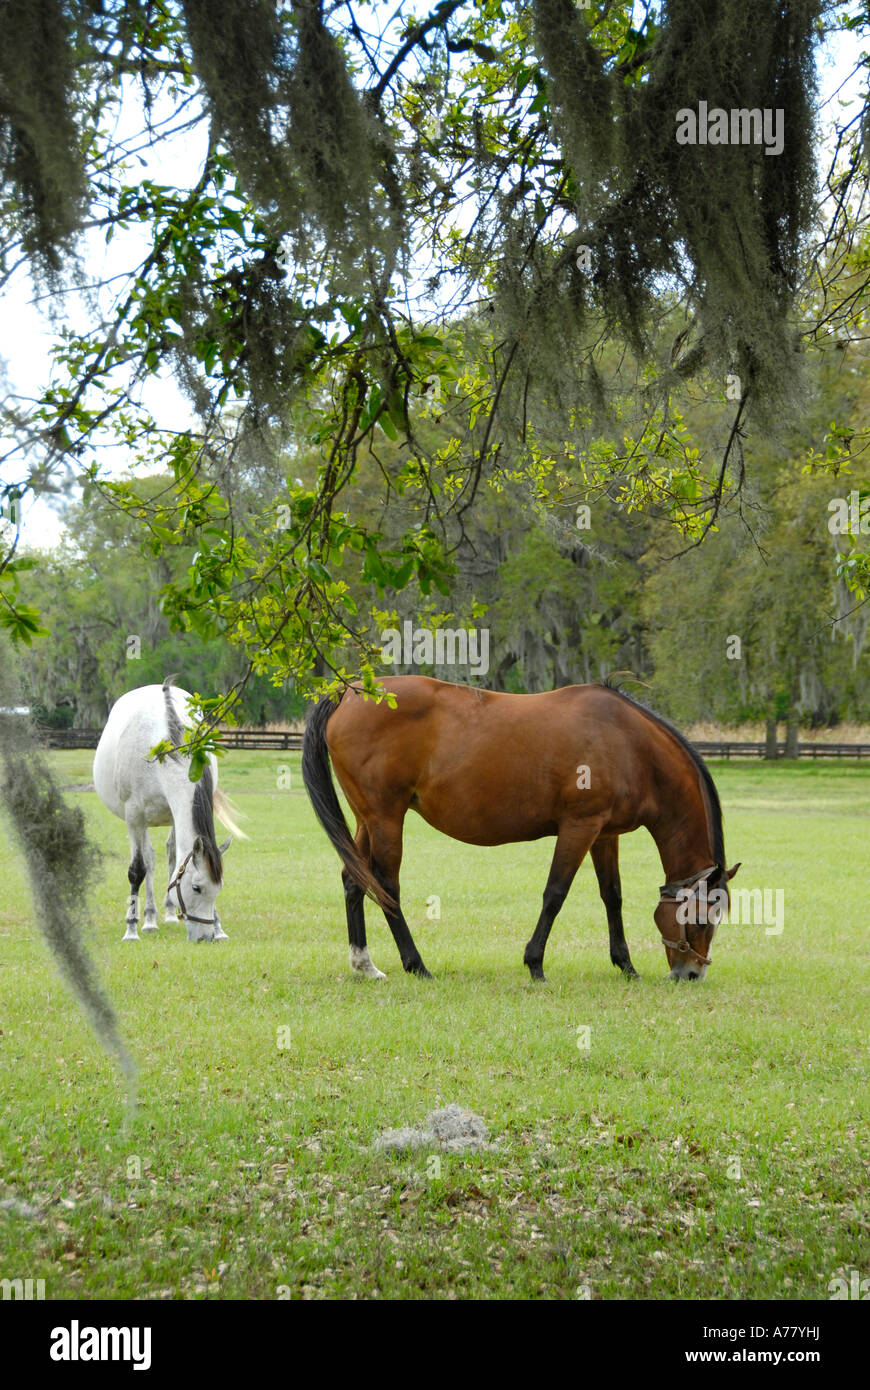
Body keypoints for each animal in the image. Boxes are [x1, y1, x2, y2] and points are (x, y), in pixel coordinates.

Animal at [93, 677, 242, 942]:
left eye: (219, 888)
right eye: (196, 888)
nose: (204, 937)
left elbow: (176, 859)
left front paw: (218, 927)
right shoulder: (134, 817)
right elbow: (137, 870)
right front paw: (131, 928)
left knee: (169, 854)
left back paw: (168, 914)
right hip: (141, 823)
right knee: (148, 861)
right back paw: (149, 920)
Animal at [302, 675, 740, 982]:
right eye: (702, 920)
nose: (691, 973)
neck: (629, 744)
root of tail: (349, 692)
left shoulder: (604, 833)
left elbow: (612, 896)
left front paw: (625, 965)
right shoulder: (579, 826)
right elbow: (555, 893)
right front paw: (535, 963)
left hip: (367, 819)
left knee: (354, 879)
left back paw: (365, 964)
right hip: (386, 818)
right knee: (385, 885)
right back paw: (416, 964)